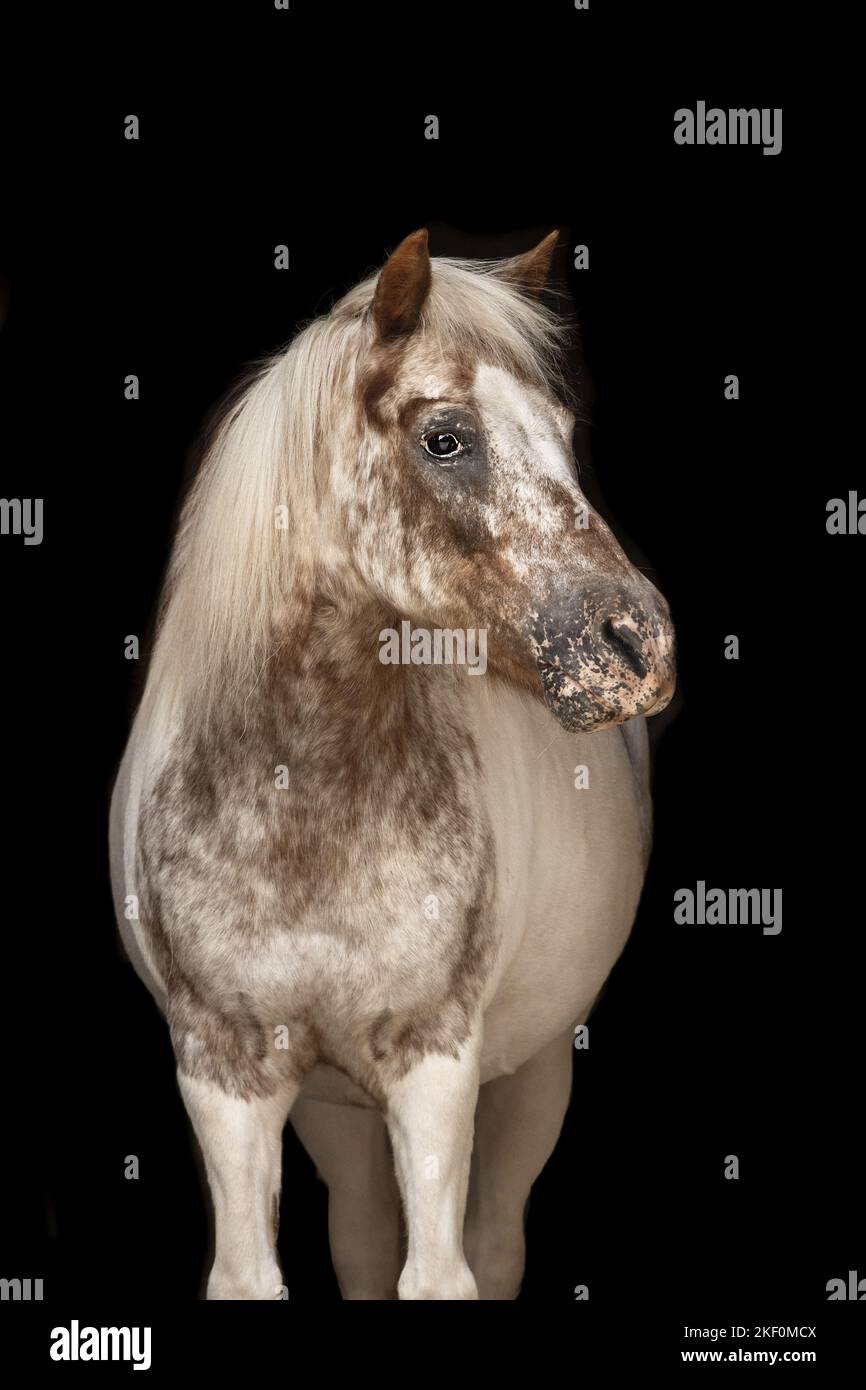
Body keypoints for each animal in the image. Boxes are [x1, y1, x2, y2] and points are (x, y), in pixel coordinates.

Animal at [109, 229, 676, 1300]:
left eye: (563, 430)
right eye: (444, 438)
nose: (639, 646)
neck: (299, 804)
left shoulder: (434, 1064)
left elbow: (443, 1274)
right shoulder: (223, 1071)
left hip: (537, 1073)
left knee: (494, 1242)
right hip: (335, 1113)